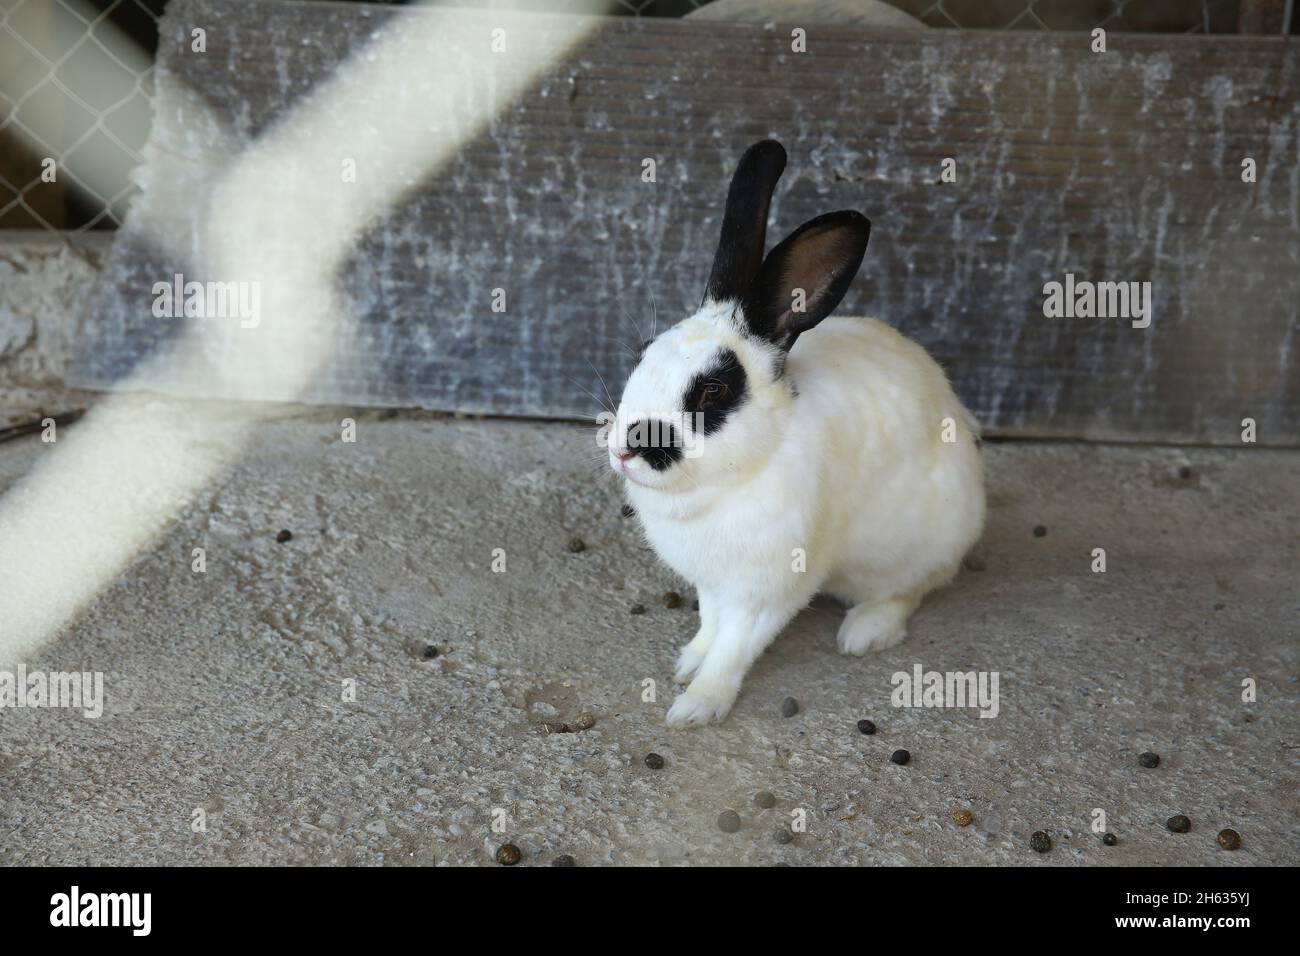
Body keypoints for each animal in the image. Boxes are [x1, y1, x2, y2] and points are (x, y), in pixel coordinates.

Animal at [607, 139, 985, 726]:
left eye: (713, 391)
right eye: (643, 354)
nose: (627, 450)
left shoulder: (768, 591)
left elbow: (735, 647)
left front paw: (697, 706)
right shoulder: (714, 584)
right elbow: (711, 625)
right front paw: (688, 660)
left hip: (921, 547)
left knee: (911, 590)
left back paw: (863, 632)